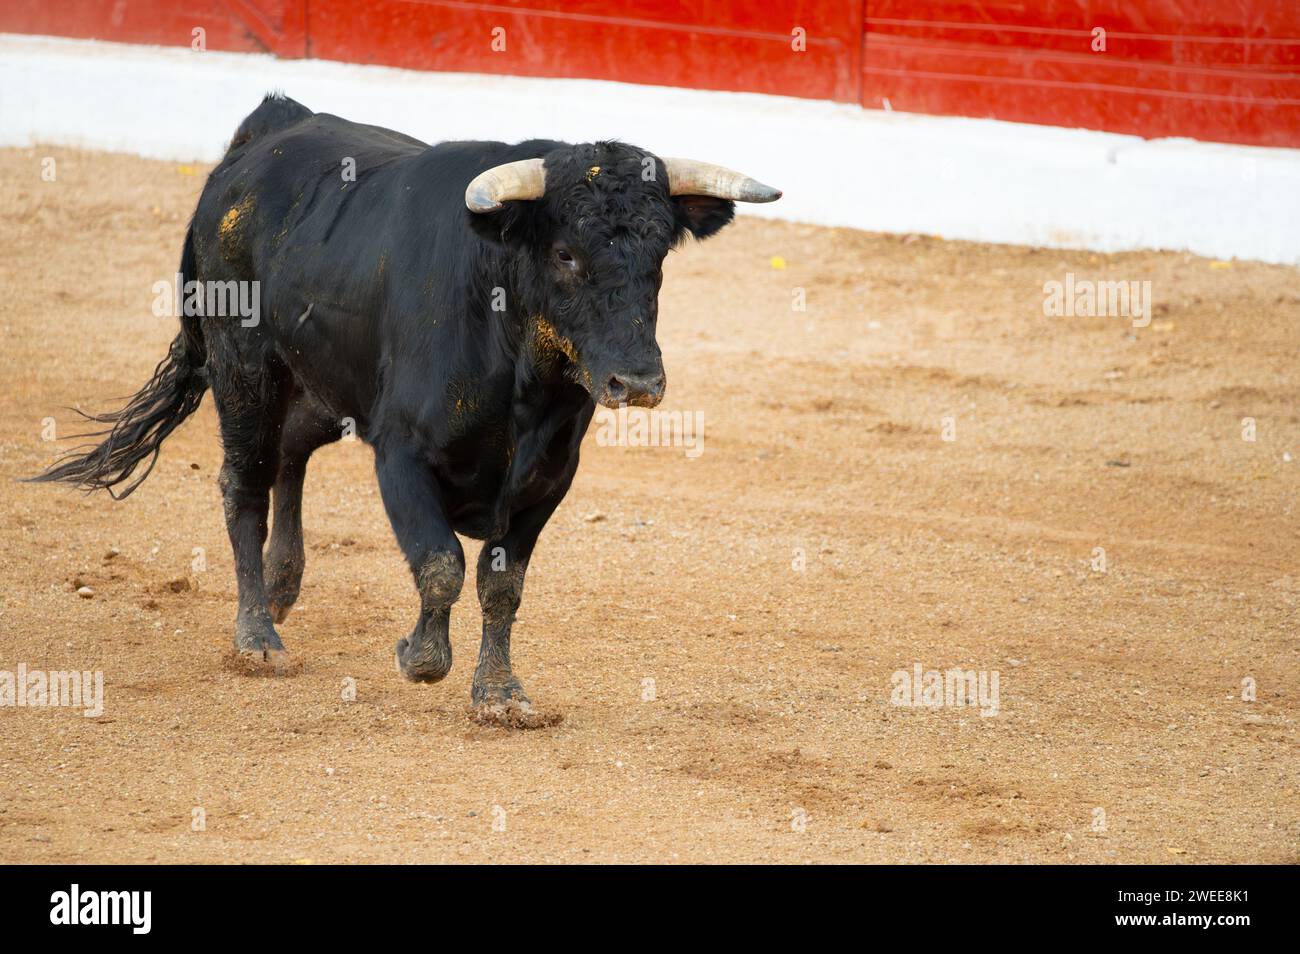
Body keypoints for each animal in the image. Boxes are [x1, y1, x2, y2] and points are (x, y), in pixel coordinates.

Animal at [32, 93, 781, 726]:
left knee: (290, 453)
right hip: (240, 364)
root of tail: (269, 130)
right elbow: (442, 563)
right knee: (243, 481)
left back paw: (281, 586)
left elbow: (502, 586)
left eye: (659, 256)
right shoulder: (402, 454)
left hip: (325, 385)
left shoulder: (548, 481)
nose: (639, 380)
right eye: (566, 253)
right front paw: (420, 659)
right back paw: (258, 635)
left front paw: (500, 694)